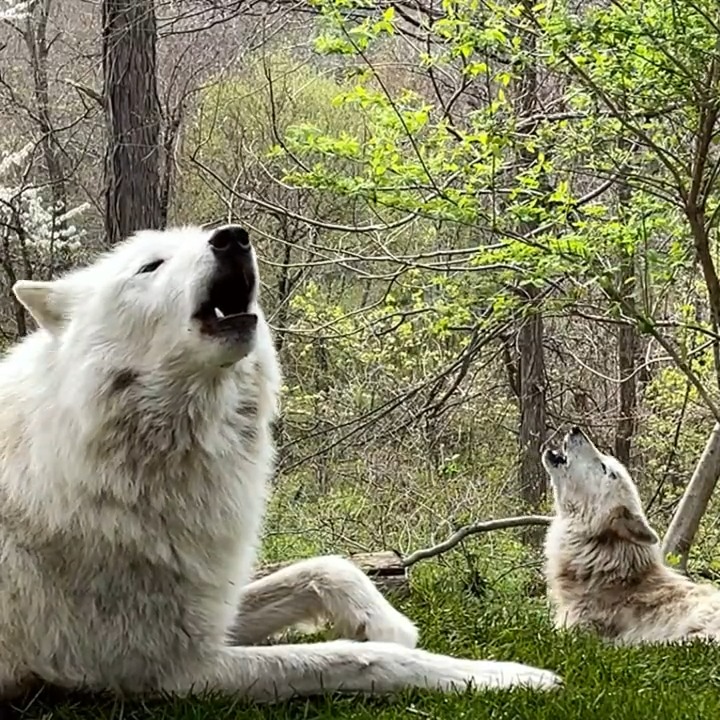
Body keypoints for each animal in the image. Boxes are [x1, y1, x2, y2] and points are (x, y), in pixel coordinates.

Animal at [0, 223, 560, 702]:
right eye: (150, 266)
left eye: (206, 235)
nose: (232, 237)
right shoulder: (173, 671)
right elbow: (360, 659)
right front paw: (505, 675)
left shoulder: (213, 608)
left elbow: (330, 566)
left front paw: (388, 624)